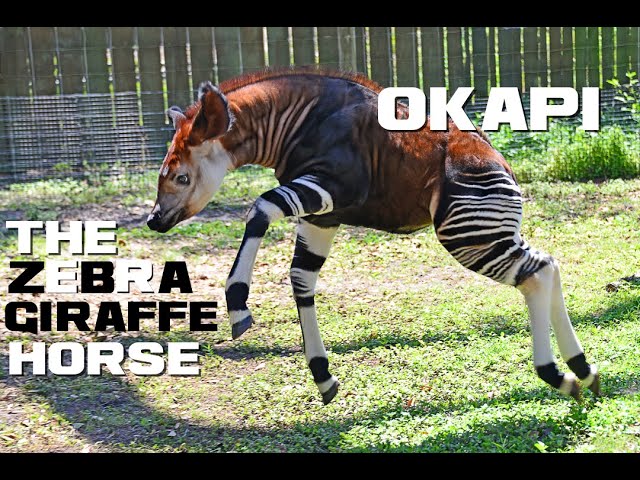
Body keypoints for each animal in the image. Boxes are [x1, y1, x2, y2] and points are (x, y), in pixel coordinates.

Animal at [147, 67, 600, 405]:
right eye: (162, 176)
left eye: (181, 176)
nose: (154, 221)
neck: (296, 120)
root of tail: (503, 167)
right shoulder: (323, 213)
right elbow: (302, 278)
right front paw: (323, 377)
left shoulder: (332, 187)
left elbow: (259, 210)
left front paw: (239, 306)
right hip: (484, 232)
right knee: (547, 265)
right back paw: (583, 370)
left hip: (467, 237)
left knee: (534, 274)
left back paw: (556, 374)